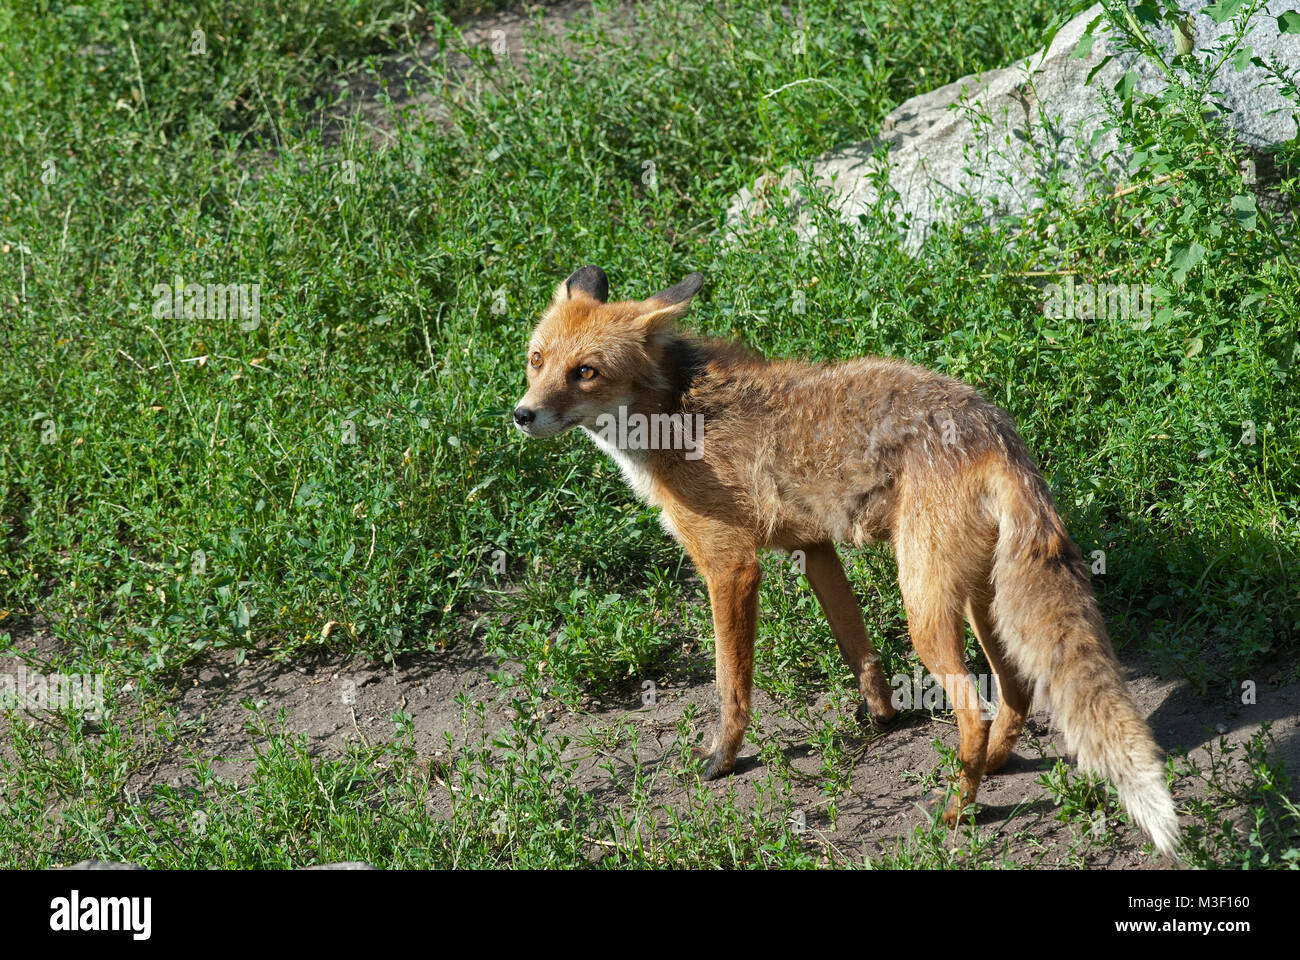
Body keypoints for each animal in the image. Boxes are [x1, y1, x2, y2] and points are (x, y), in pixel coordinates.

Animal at [513, 265, 1181, 859]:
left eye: (586, 372)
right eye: (537, 360)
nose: (522, 414)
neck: (678, 412)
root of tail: (993, 428)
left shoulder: (730, 566)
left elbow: (731, 686)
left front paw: (721, 759)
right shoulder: (814, 549)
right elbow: (857, 645)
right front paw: (882, 717)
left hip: (924, 606)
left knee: (973, 709)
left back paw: (957, 809)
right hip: (976, 597)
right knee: (1014, 690)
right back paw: (993, 767)